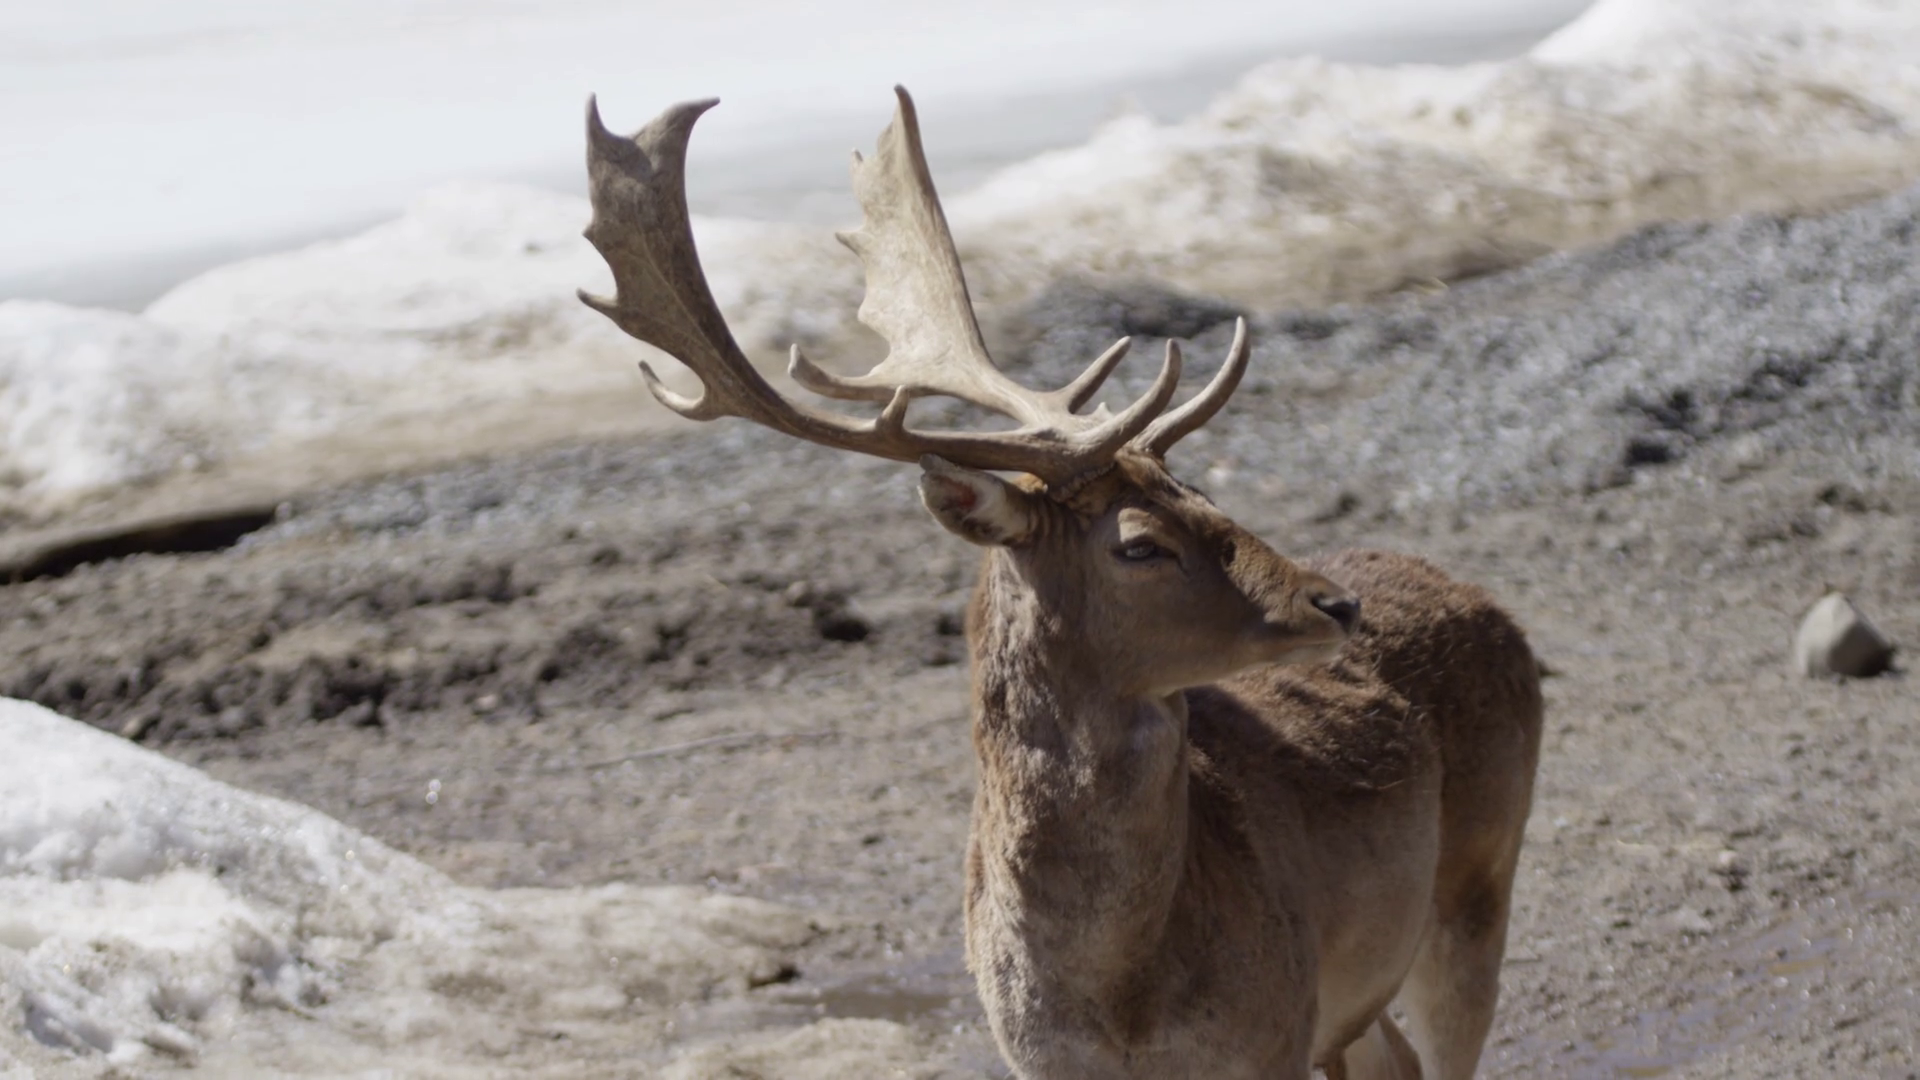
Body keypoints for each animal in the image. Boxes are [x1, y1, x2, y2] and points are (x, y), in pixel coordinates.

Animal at [577, 86, 1542, 1080]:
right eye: (1140, 544)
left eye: (1204, 492)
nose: (1335, 603)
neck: (1123, 1003)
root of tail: (1488, 605)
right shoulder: (1040, 1056)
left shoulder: (1275, 1029)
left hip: (1480, 875)